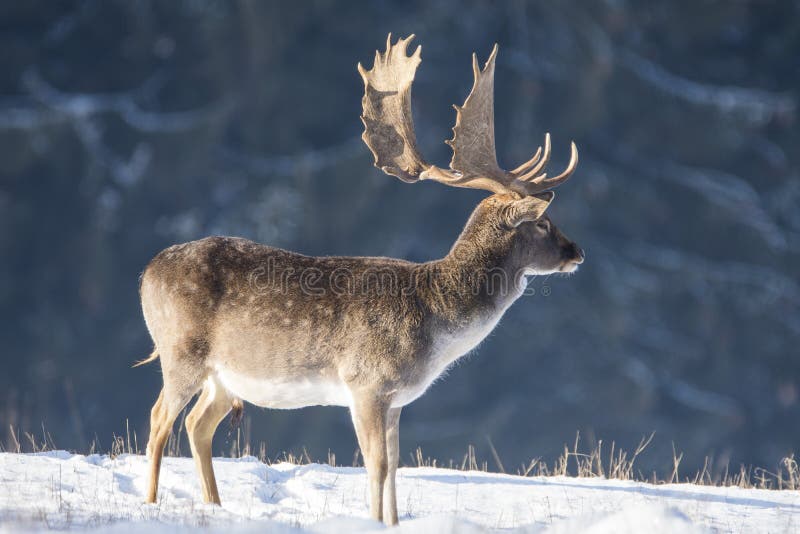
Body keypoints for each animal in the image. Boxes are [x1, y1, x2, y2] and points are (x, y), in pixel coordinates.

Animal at [136, 34, 584, 525]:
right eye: (543, 224)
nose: (576, 252)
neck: (435, 318)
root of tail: (146, 272)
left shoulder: (396, 400)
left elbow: (395, 467)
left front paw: (393, 521)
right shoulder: (365, 381)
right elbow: (377, 465)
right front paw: (373, 521)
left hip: (224, 376)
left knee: (197, 425)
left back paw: (215, 505)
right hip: (180, 351)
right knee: (158, 419)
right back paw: (150, 502)